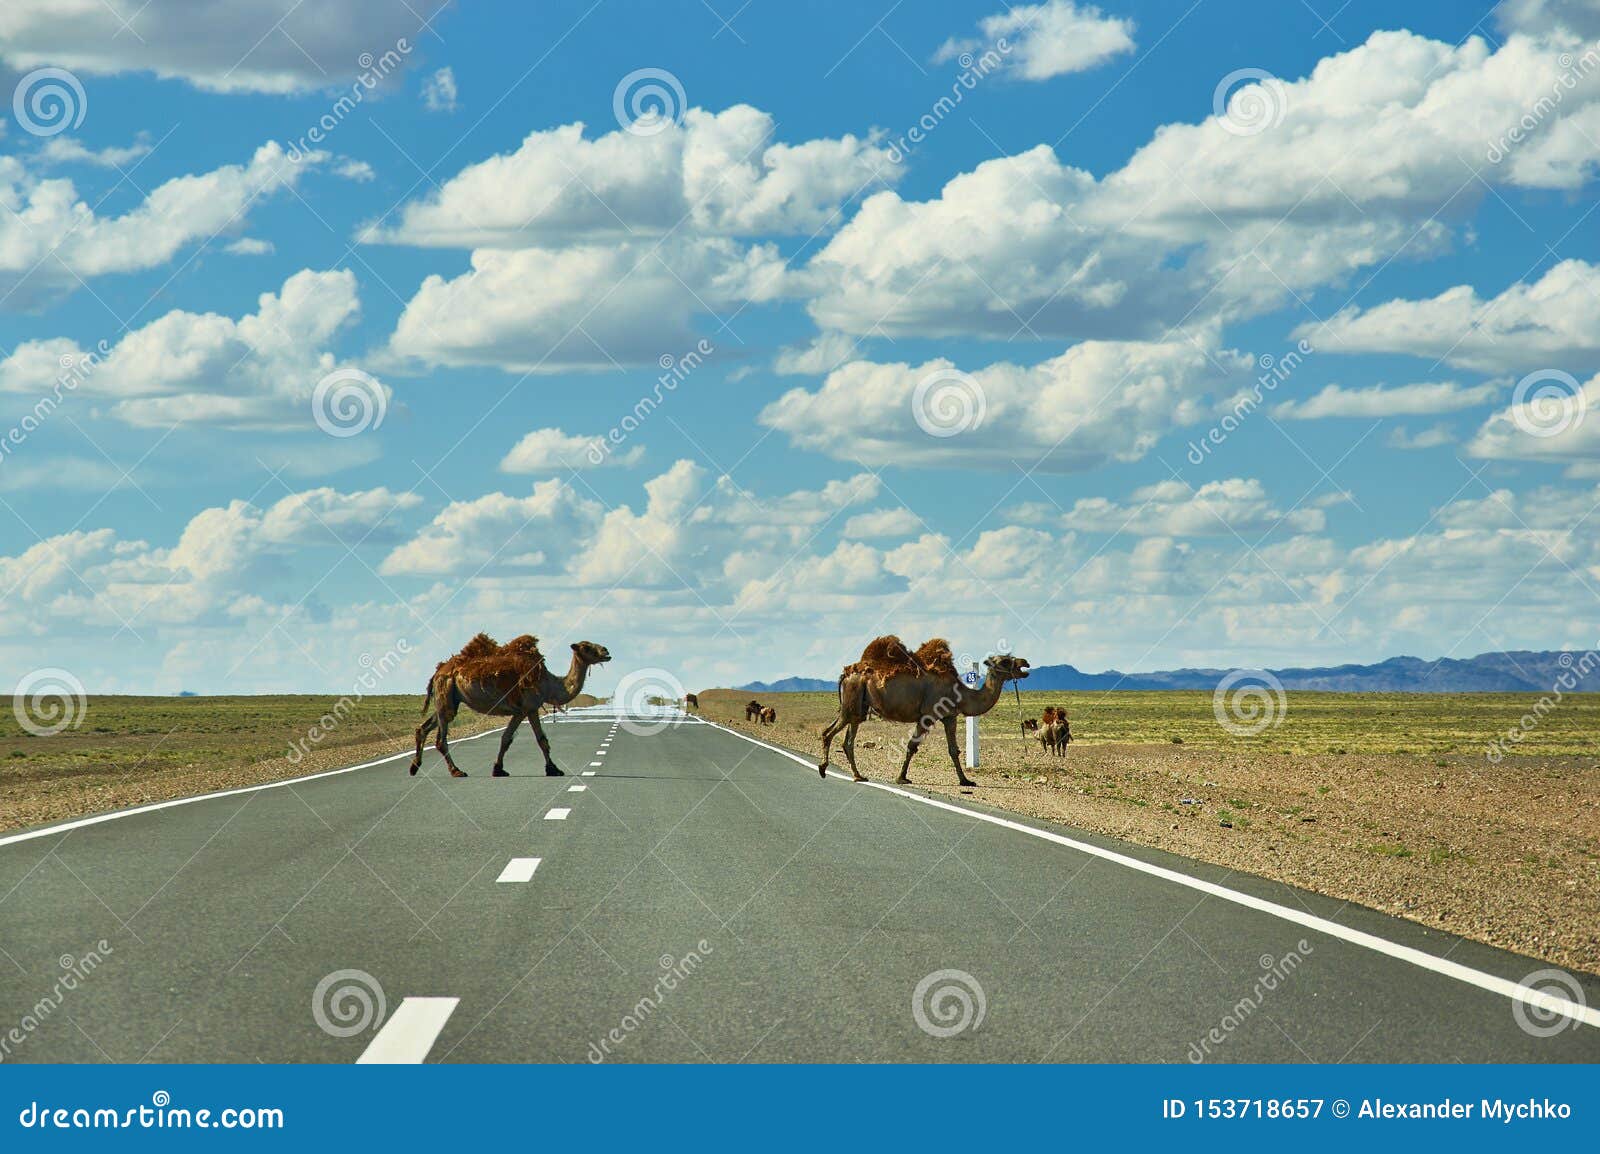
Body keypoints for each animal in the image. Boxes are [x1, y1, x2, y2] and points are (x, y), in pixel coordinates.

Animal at [409, 633, 611, 778]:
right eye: (586, 646)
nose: (606, 651)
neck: (549, 684)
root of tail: (438, 672)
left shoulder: (521, 711)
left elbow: (507, 738)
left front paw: (498, 769)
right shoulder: (529, 707)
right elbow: (540, 740)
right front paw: (553, 769)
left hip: (450, 699)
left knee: (424, 727)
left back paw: (414, 767)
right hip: (445, 693)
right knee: (441, 739)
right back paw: (456, 771)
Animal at [818, 636, 1030, 787]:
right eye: (1004, 661)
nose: (1025, 663)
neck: (959, 693)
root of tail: (846, 674)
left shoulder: (950, 717)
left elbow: (953, 750)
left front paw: (965, 781)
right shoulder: (928, 715)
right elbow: (911, 746)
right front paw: (901, 778)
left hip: (857, 708)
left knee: (847, 739)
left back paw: (858, 775)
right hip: (852, 701)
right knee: (829, 733)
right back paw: (823, 769)